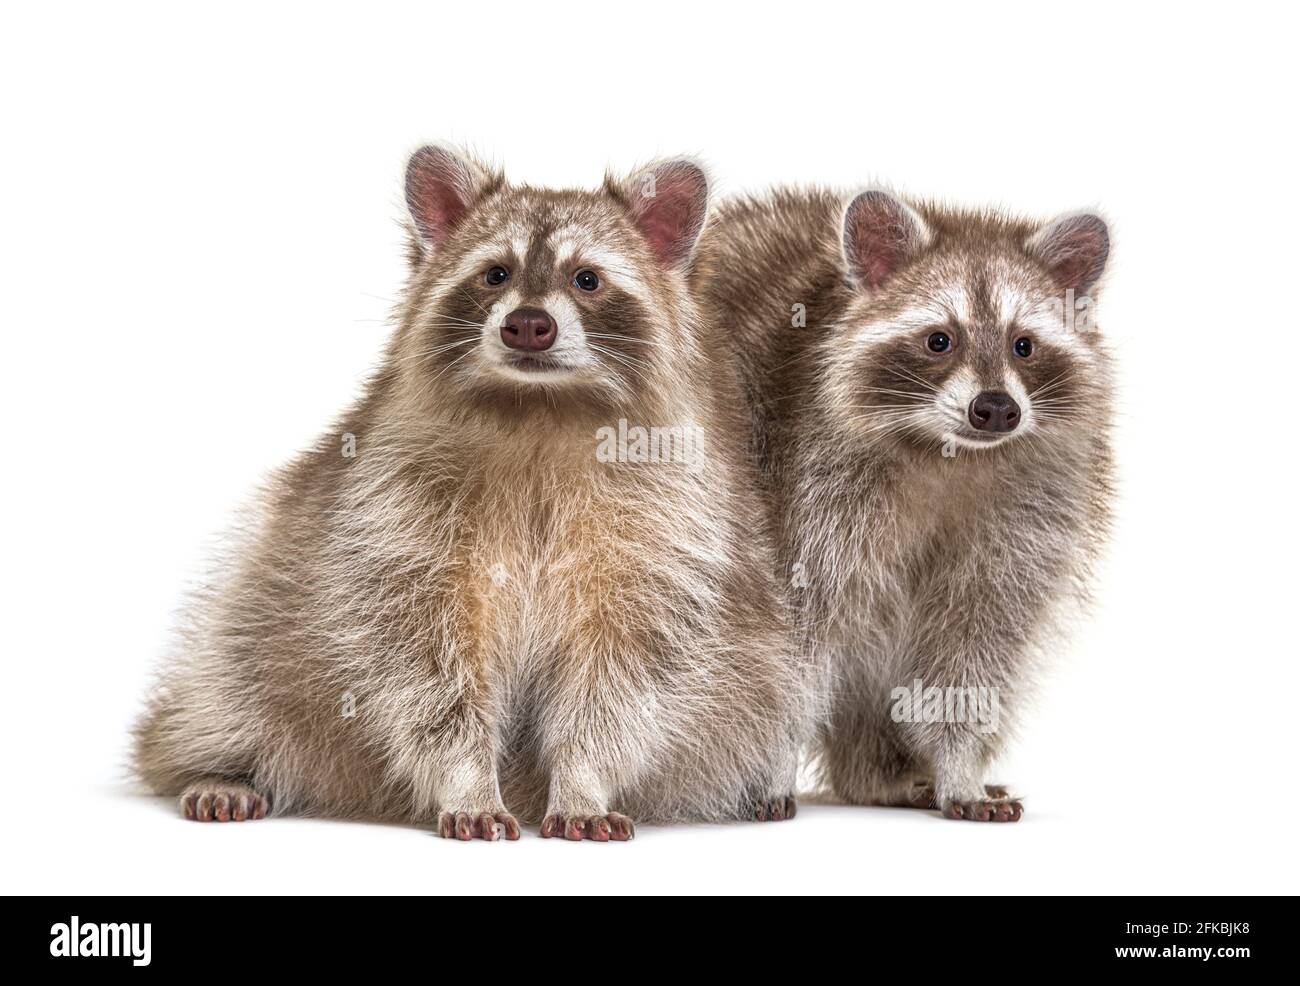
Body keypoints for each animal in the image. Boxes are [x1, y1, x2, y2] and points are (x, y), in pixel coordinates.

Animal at [132, 146, 806, 840]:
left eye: (587, 279)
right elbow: (423, 672)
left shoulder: (670, 530)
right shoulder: (389, 512)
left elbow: (624, 681)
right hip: (258, 604)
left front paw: (582, 781)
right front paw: (469, 781)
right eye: (495, 274)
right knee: (228, 674)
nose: (528, 325)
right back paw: (222, 768)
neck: (538, 410)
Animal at [694, 188, 1113, 821]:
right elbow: (791, 642)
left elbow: (977, 642)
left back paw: (882, 777)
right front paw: (766, 766)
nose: (996, 408)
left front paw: (959, 767)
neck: (951, 454)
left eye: (1024, 345)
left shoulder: (1032, 506)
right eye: (940, 339)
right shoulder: (801, 489)